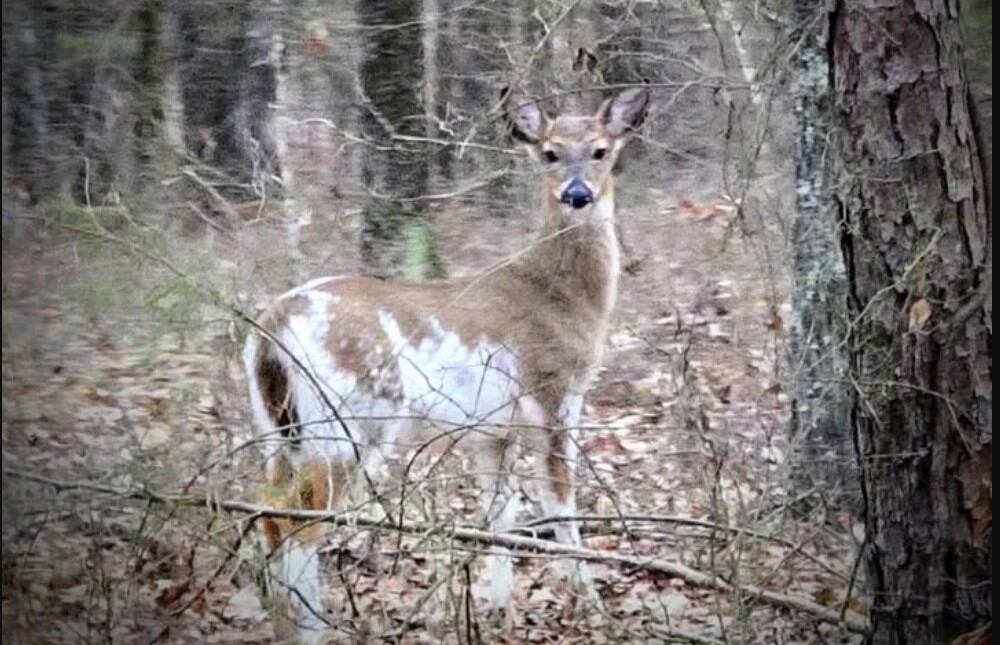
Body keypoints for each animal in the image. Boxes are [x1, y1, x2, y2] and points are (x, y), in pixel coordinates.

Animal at [242, 85, 650, 642]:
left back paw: (282, 621)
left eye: (601, 151)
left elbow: (500, 515)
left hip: (276, 425)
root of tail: (273, 325)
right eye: (549, 153)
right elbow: (560, 507)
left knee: (265, 509)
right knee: (297, 519)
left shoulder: (492, 430)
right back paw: (313, 627)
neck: (563, 296)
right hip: (347, 420)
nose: (577, 194)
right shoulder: (552, 394)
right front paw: (591, 608)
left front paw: (499, 611)